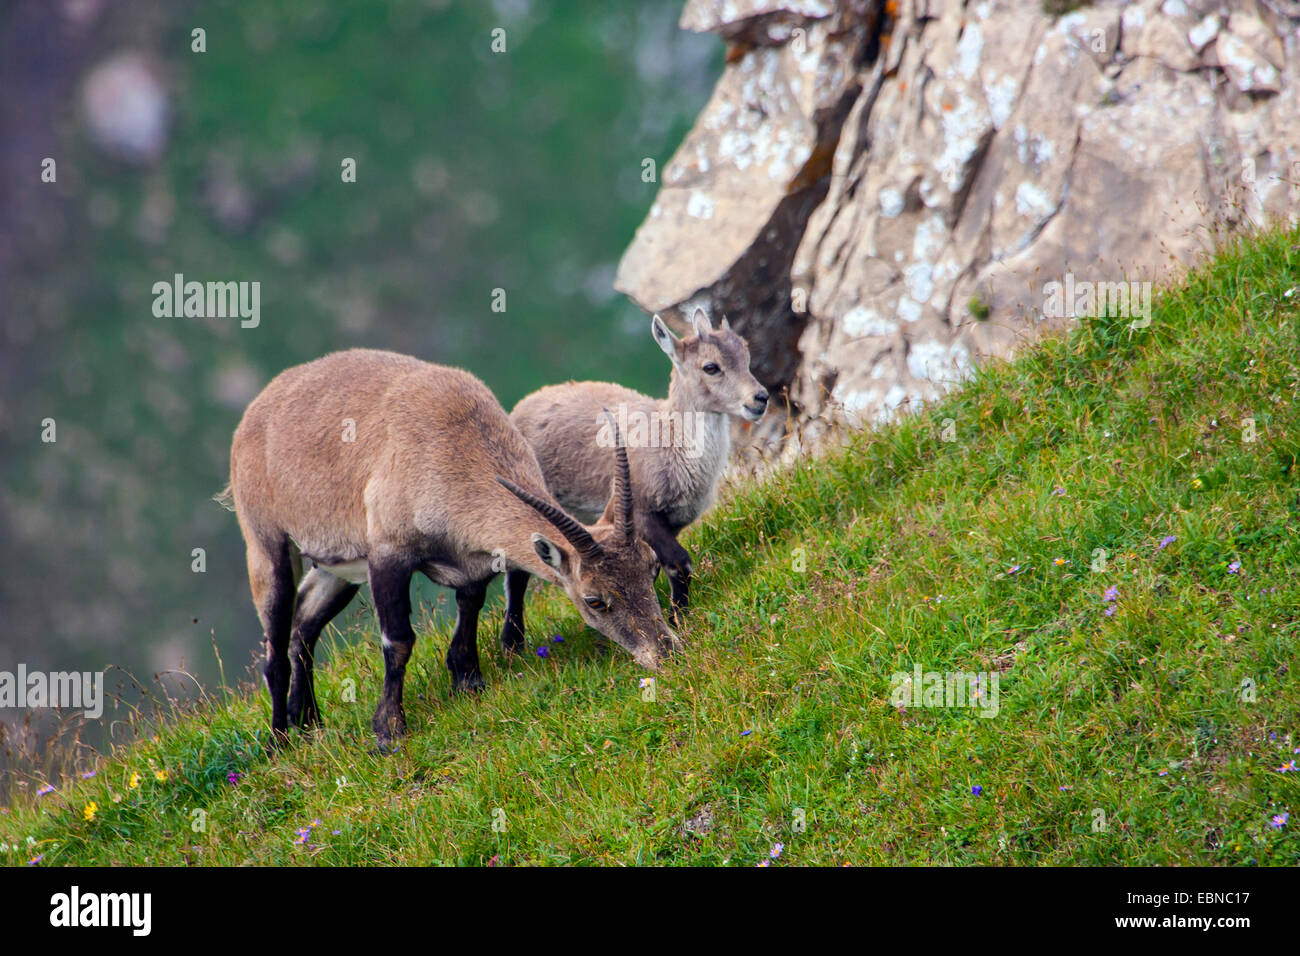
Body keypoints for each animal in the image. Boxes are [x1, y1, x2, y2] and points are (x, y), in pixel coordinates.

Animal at [219, 349, 676, 750]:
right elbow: (398, 640)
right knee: (276, 645)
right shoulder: (388, 553)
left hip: (337, 569)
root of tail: (253, 415)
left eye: (651, 567)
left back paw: (309, 720)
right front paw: (388, 730)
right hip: (266, 543)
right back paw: (280, 738)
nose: (666, 650)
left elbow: (469, 609)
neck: (457, 446)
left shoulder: (471, 562)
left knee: (303, 627)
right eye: (595, 600)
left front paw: (467, 680)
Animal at [507, 309, 767, 636]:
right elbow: (679, 564)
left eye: (746, 355)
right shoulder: (643, 512)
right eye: (711, 367)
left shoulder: (673, 521)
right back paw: (512, 640)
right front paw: (677, 618)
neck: (672, 442)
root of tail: (520, 406)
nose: (760, 398)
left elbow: (657, 565)